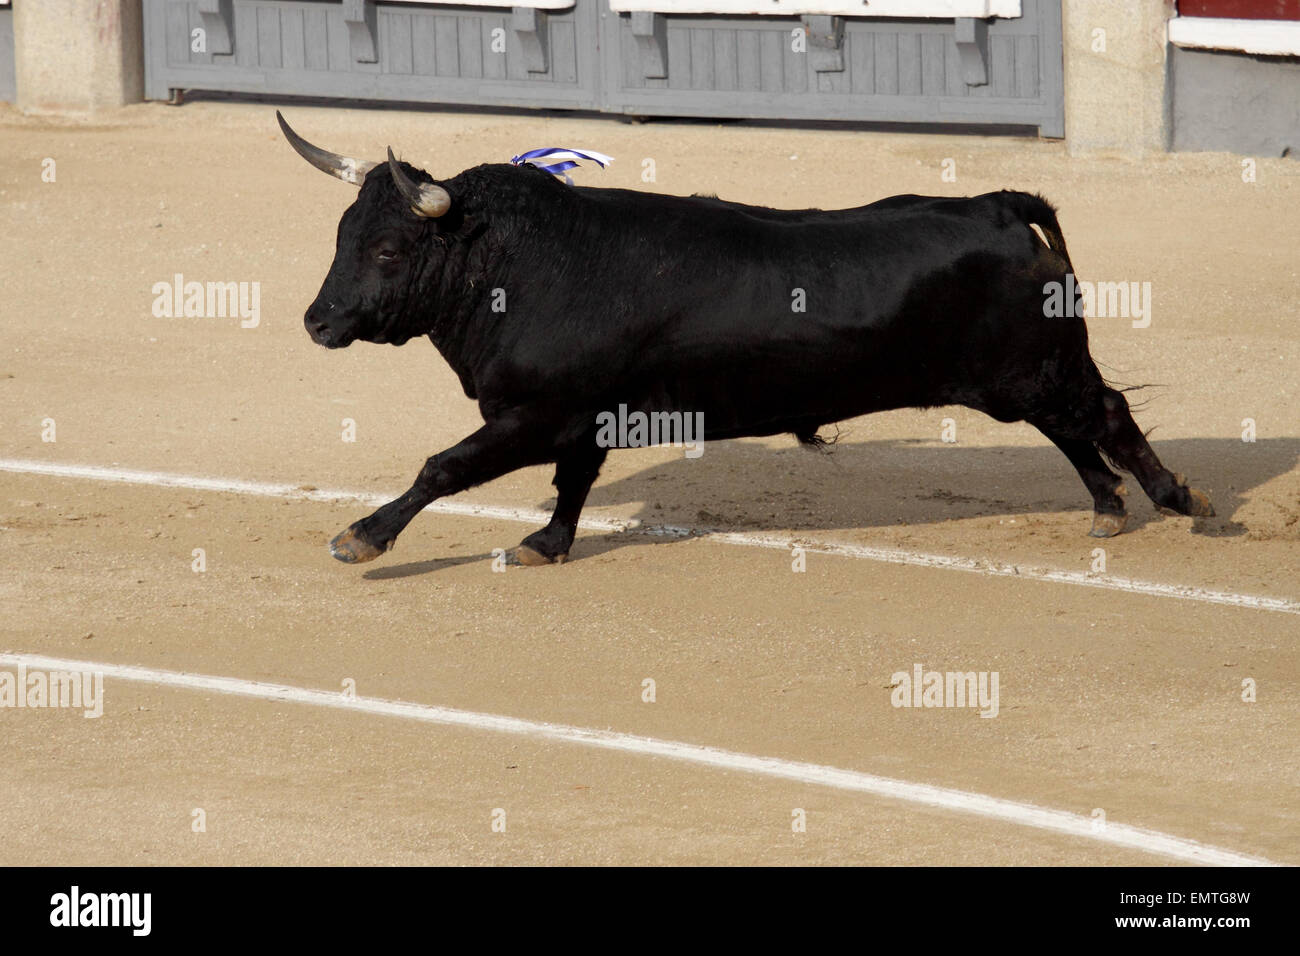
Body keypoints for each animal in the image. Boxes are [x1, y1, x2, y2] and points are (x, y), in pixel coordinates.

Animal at [276, 111, 1213, 567]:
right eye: (341, 234)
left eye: (389, 250)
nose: (317, 323)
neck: (518, 261)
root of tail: (997, 205)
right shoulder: (584, 420)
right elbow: (572, 485)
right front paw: (545, 545)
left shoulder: (535, 415)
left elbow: (444, 467)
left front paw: (363, 538)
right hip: (1025, 379)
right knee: (1077, 430)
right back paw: (1107, 510)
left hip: (1039, 368)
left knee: (1107, 414)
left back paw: (1181, 501)